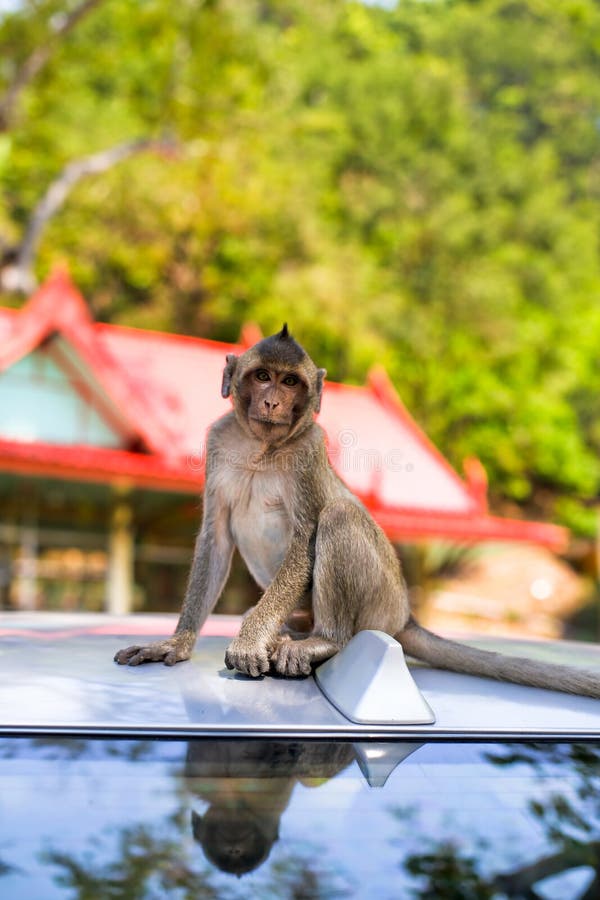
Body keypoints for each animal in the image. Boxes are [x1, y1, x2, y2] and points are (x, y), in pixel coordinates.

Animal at [115, 326, 600, 699]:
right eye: (263, 376)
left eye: (290, 383)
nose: (272, 402)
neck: (260, 448)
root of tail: (406, 614)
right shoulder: (217, 442)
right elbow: (214, 539)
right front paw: (176, 643)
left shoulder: (309, 450)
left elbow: (305, 537)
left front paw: (249, 639)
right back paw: (290, 633)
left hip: (381, 600)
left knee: (338, 518)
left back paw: (322, 641)